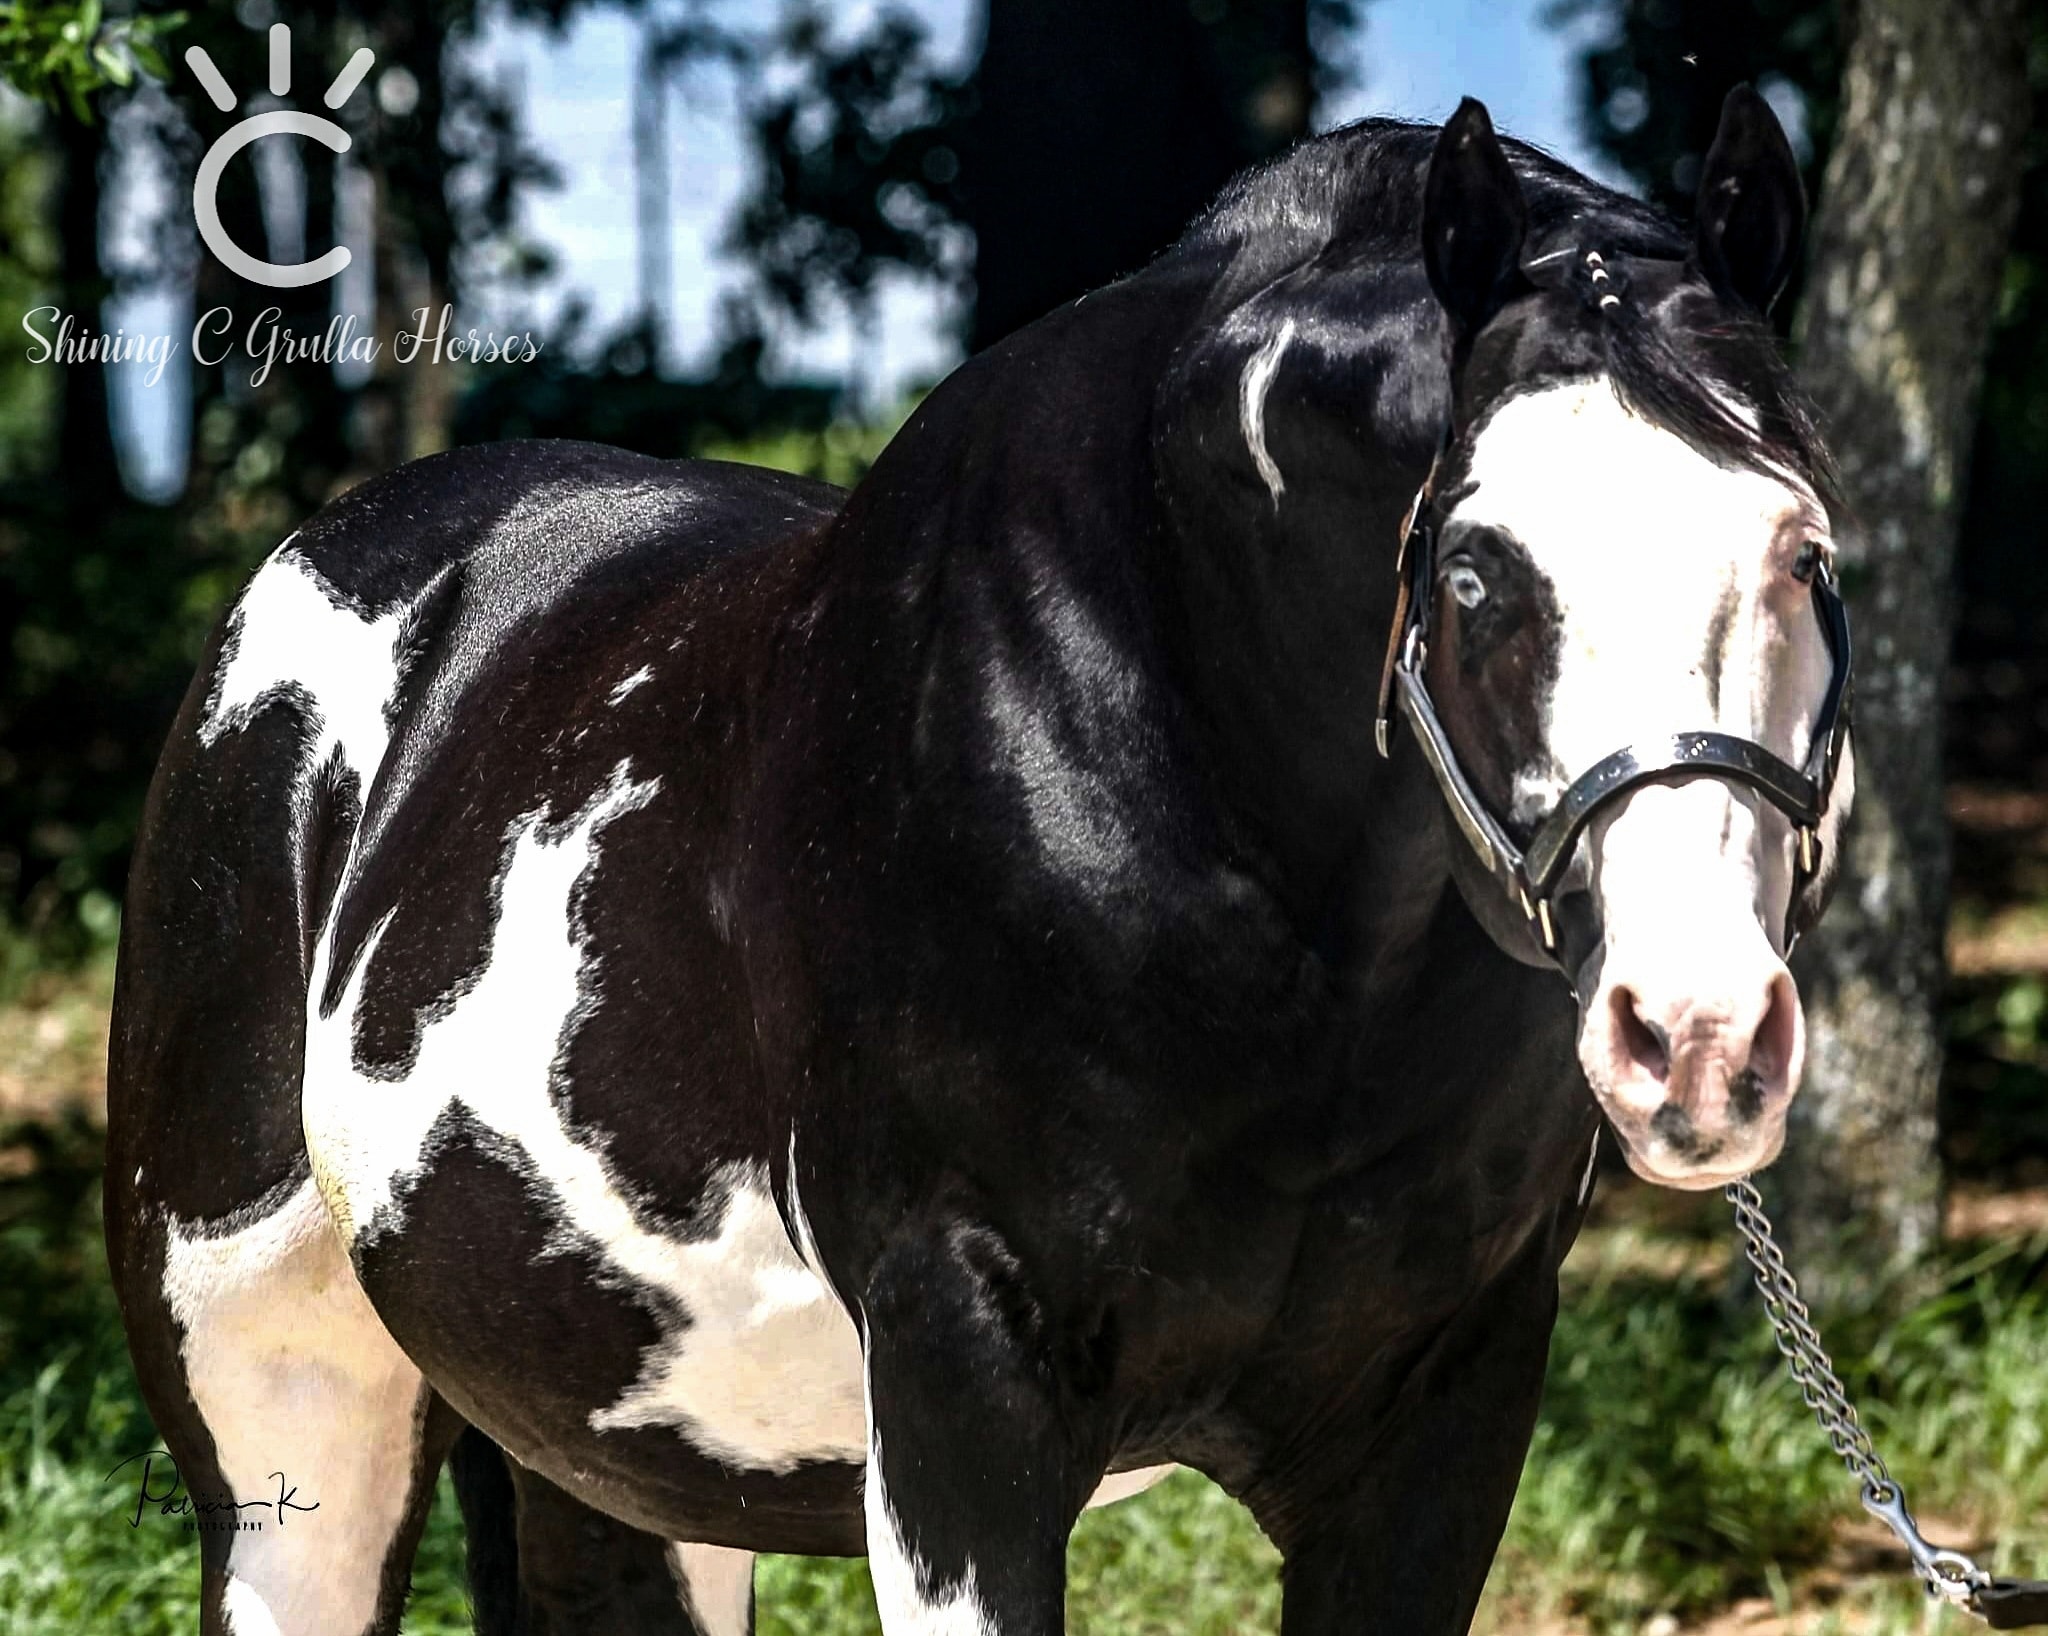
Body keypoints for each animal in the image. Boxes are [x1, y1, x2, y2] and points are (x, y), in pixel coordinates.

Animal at [106, 88, 1853, 1636]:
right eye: (1480, 573)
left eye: (1807, 552)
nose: (1699, 1039)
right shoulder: (965, 1397)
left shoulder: (1444, 1415)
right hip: (284, 1429)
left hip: (633, 1459)